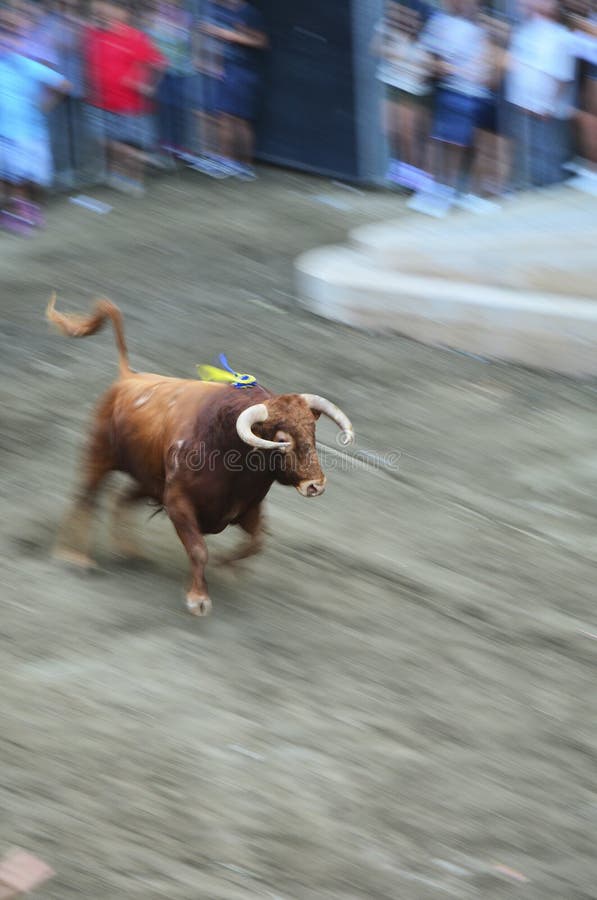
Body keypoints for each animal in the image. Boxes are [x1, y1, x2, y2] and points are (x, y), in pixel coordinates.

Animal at [46, 295, 354, 616]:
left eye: (313, 431)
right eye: (282, 440)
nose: (316, 485)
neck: (230, 453)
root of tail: (127, 377)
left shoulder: (247, 507)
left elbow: (256, 543)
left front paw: (224, 567)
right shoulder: (178, 503)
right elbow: (199, 549)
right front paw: (198, 598)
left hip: (148, 479)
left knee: (119, 499)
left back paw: (128, 551)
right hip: (98, 456)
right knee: (84, 499)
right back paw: (72, 556)